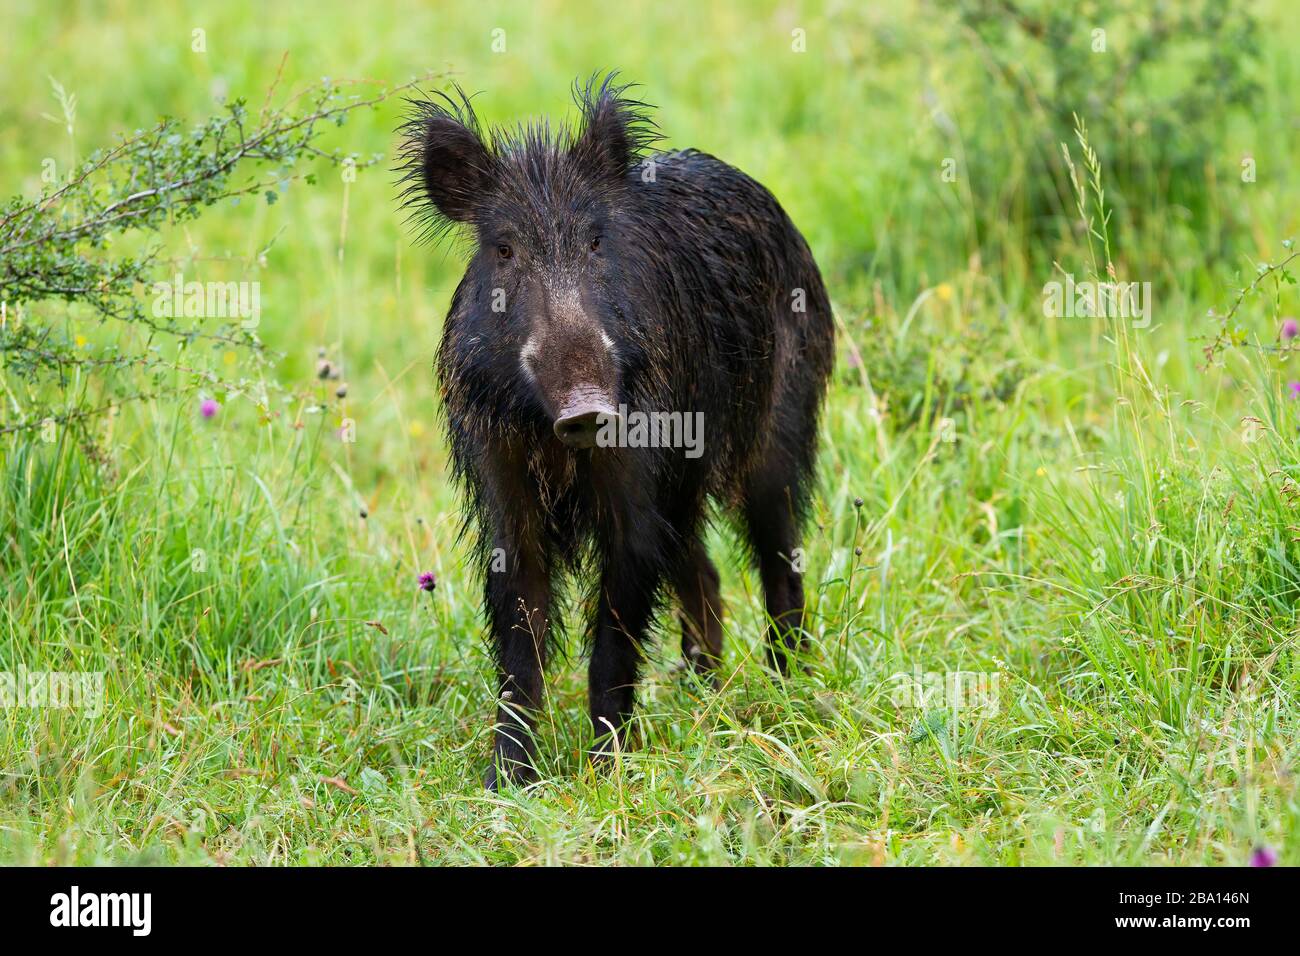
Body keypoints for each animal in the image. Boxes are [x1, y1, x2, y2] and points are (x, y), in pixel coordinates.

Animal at [399, 74, 834, 788]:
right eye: (504, 248)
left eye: (597, 242)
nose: (586, 405)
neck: (557, 444)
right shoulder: (500, 478)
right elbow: (519, 640)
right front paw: (505, 783)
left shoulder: (637, 473)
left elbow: (614, 638)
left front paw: (610, 771)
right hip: (685, 488)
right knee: (705, 573)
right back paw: (699, 692)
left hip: (781, 425)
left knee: (780, 557)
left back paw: (787, 688)